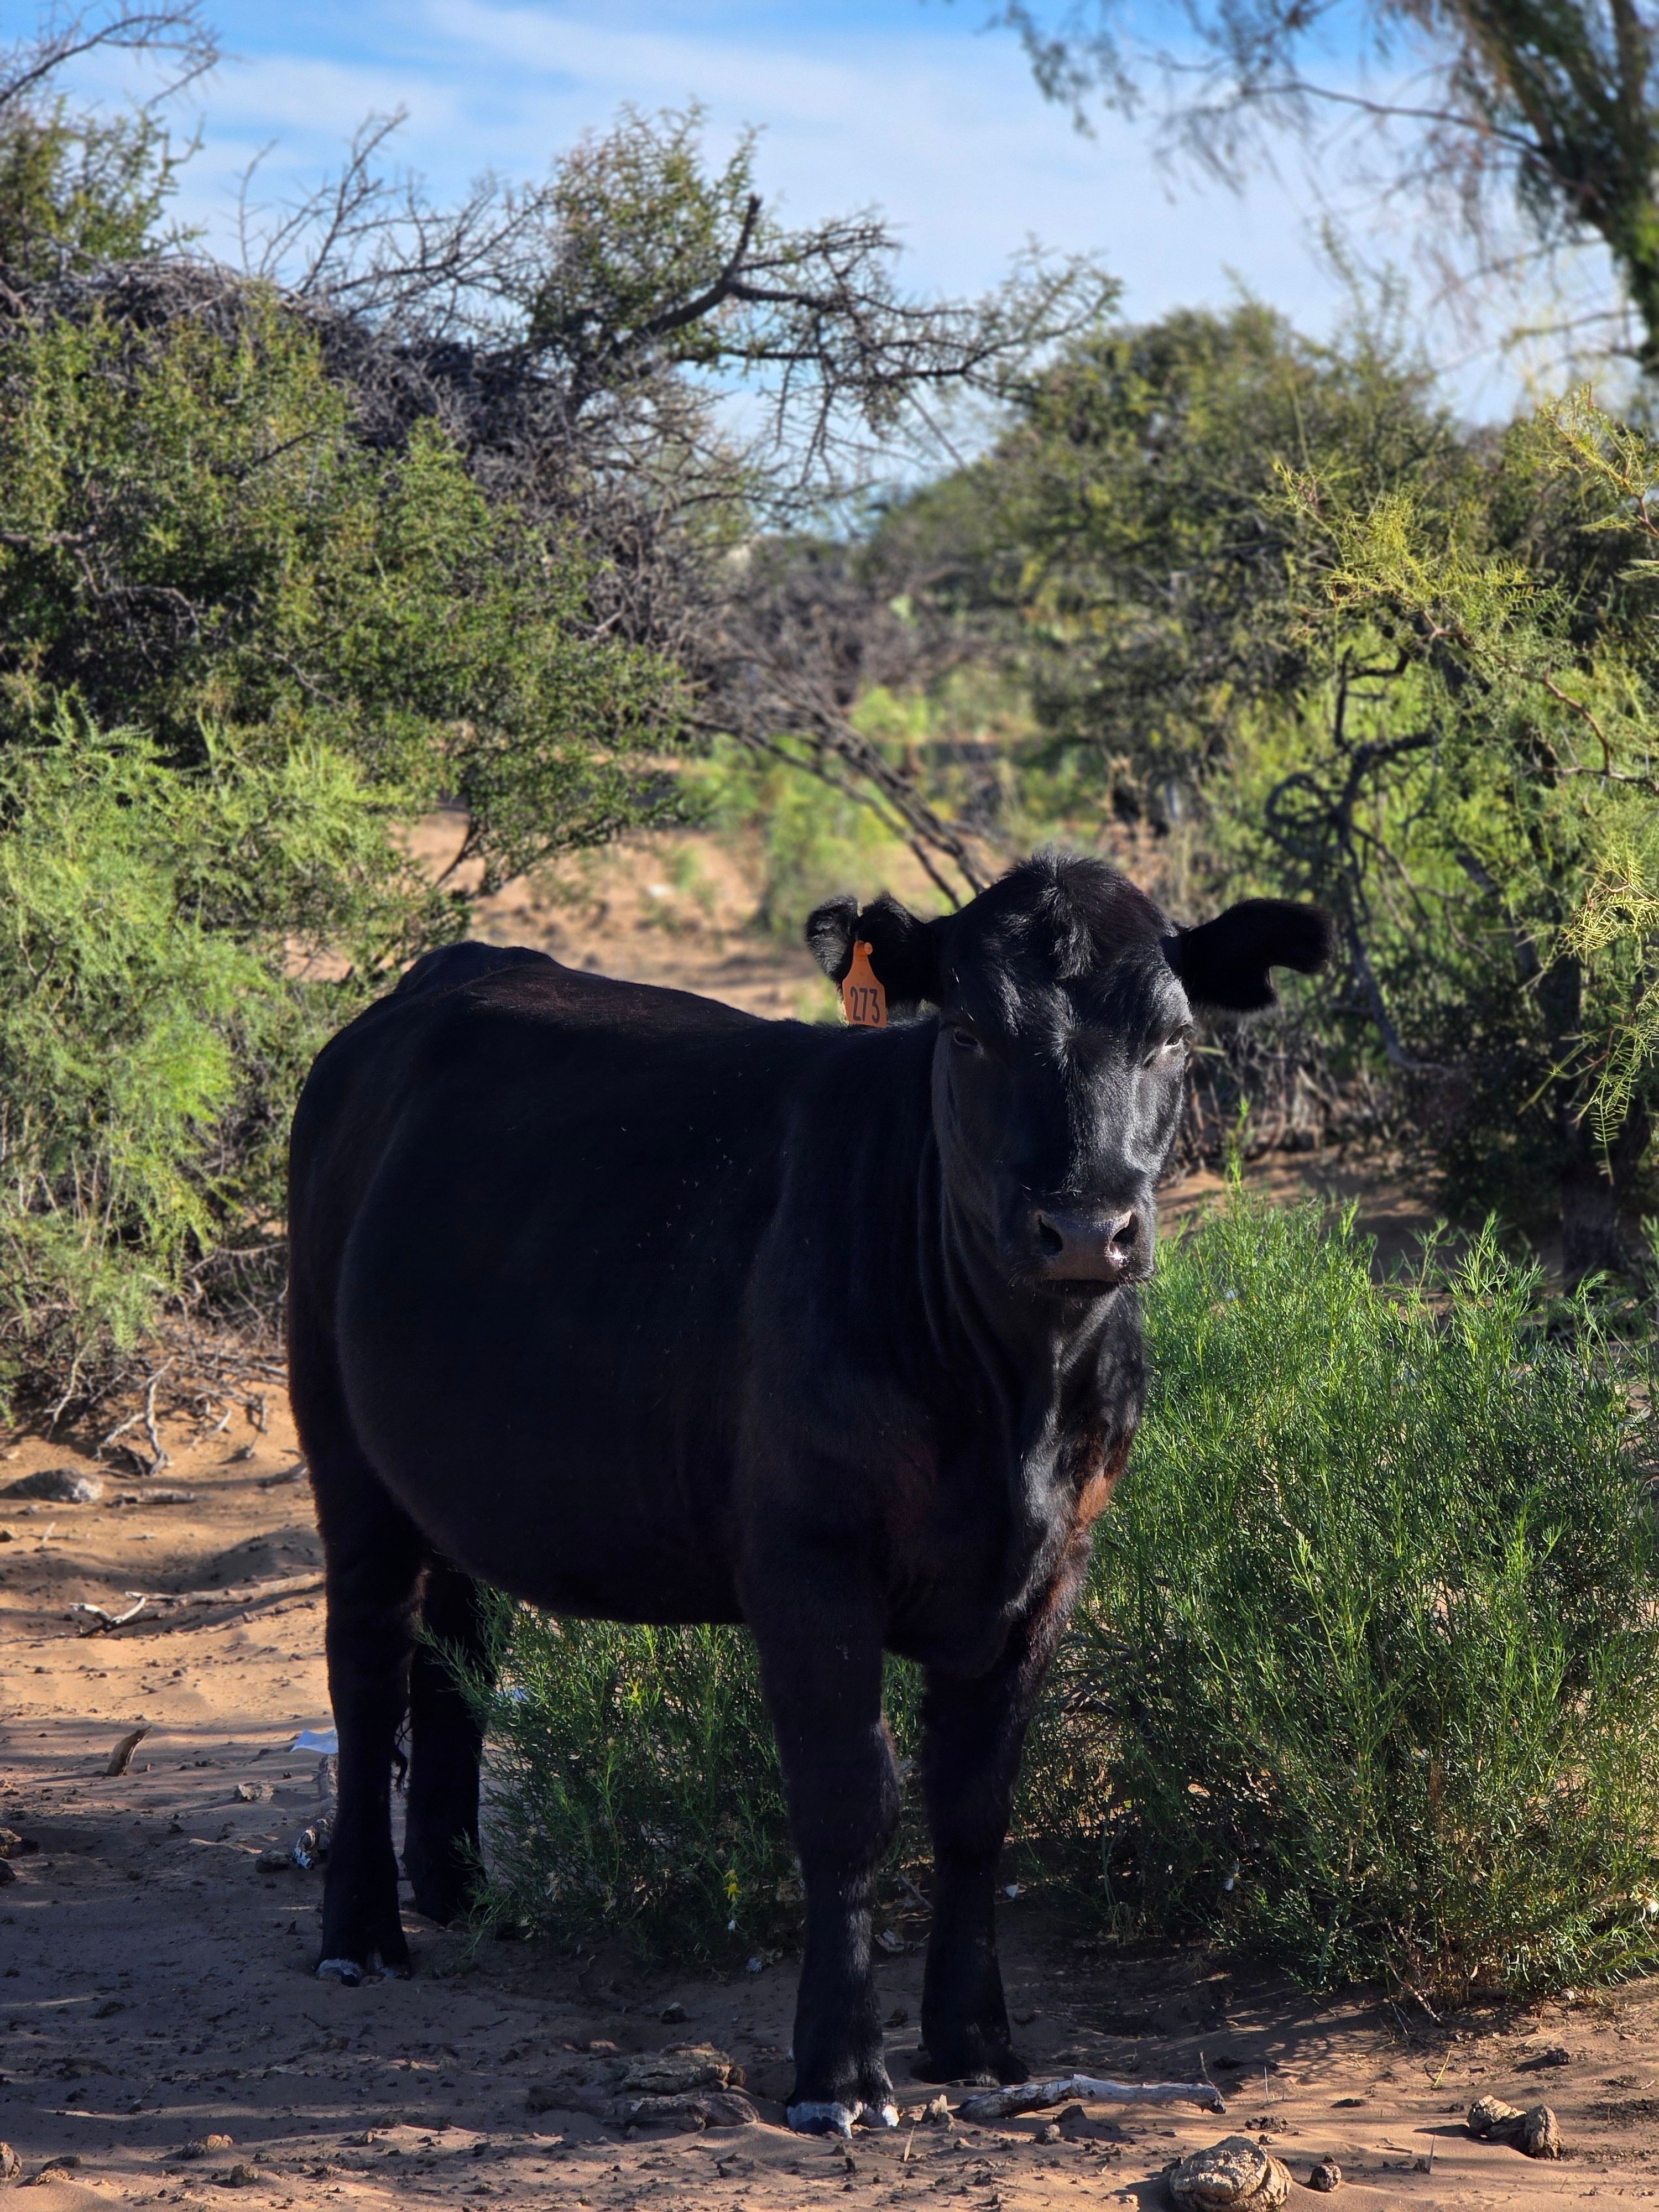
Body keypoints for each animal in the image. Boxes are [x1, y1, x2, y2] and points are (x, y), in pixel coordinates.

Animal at [285, 851, 1328, 2136]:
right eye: (971, 1030)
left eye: (1175, 1039)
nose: (1086, 1225)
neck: (1016, 1400)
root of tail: (434, 981)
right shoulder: (809, 1561)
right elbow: (850, 1803)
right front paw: (839, 2069)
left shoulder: (1051, 1571)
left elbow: (977, 1804)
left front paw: (976, 2039)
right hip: (342, 1446)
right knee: (366, 1668)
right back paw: (362, 1929)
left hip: (453, 1471)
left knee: (457, 1647)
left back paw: (462, 1885)